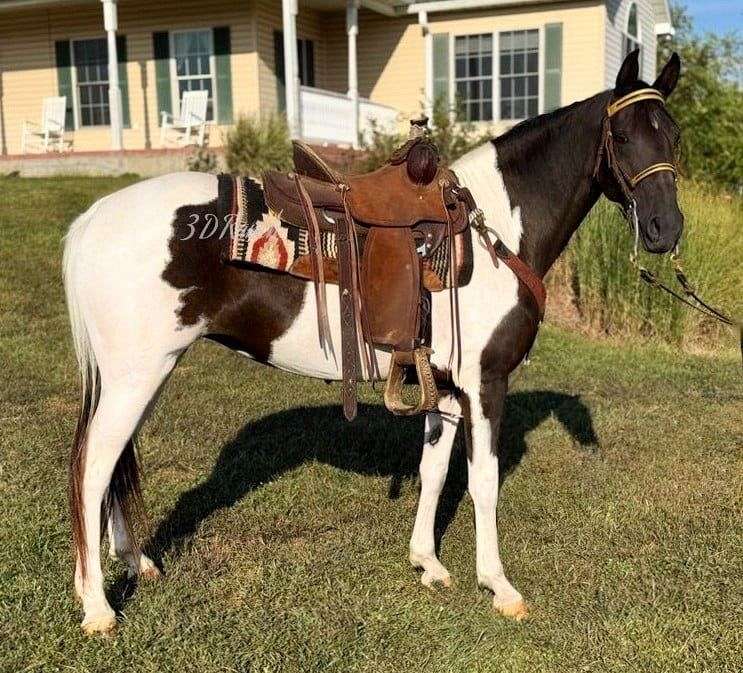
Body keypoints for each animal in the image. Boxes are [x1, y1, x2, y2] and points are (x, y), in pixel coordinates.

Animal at [63, 50, 683, 635]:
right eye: (622, 136)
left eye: (673, 135)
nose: (666, 229)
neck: (493, 232)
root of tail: (92, 219)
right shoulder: (485, 383)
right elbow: (483, 480)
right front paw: (499, 586)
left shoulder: (446, 388)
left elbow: (435, 470)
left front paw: (428, 564)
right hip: (136, 375)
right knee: (92, 469)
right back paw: (97, 607)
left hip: (148, 375)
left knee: (114, 462)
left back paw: (136, 564)